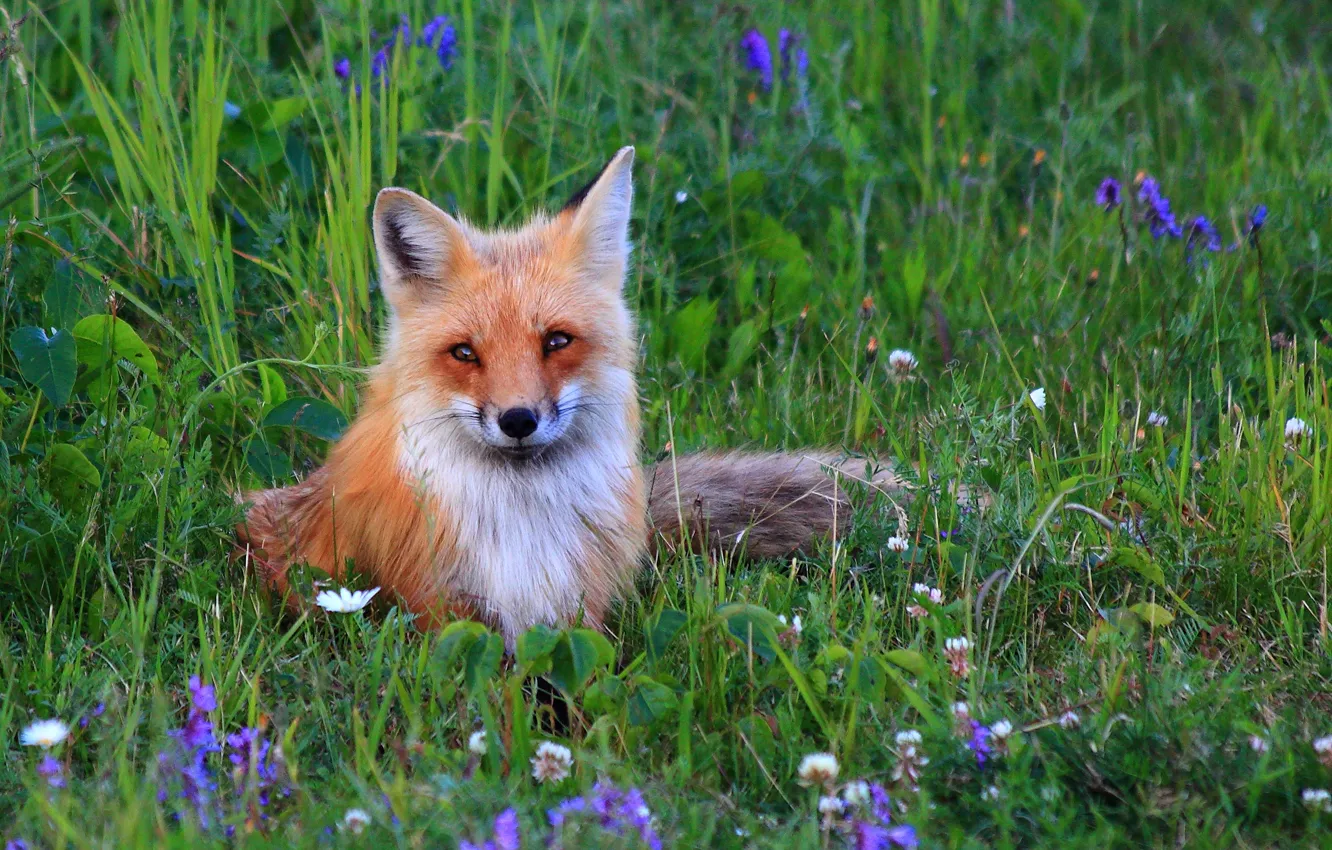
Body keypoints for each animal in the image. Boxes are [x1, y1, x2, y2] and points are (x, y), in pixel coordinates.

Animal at [237, 146, 908, 645]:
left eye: (556, 341)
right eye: (465, 353)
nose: (517, 419)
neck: (521, 527)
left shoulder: (579, 617)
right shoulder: (437, 609)